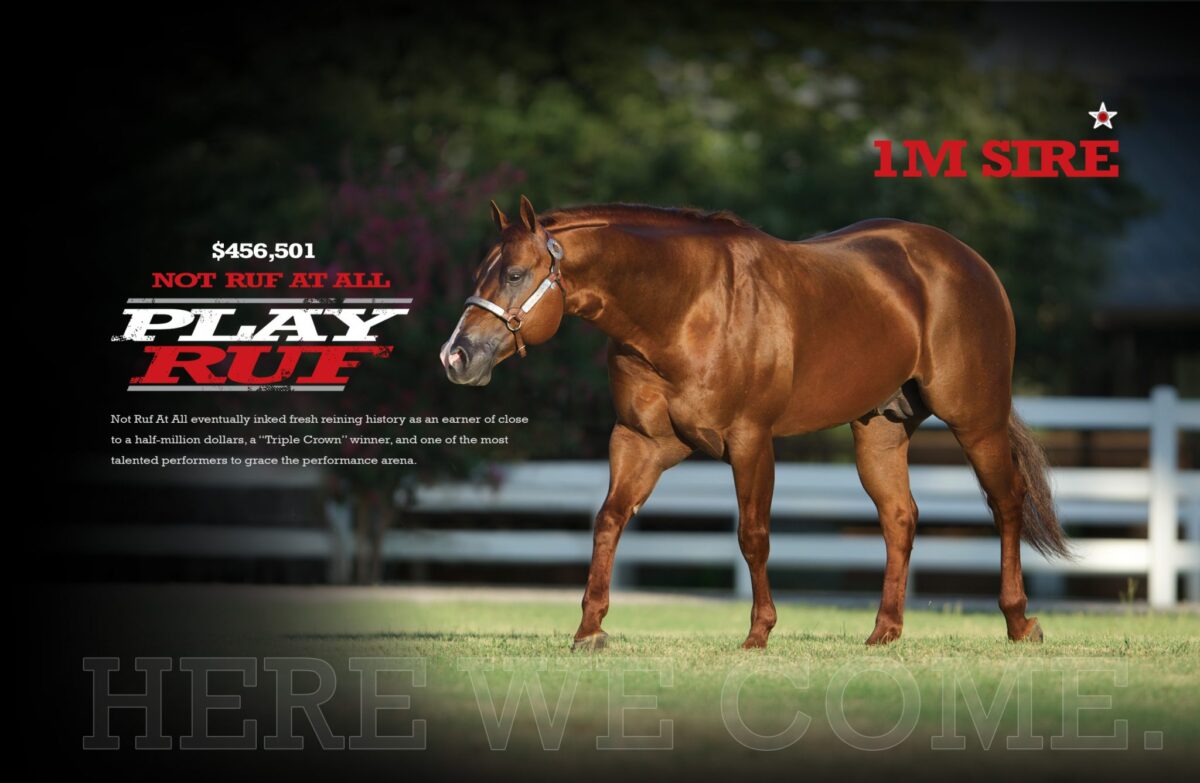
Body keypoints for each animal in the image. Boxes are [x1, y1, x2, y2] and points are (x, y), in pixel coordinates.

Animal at [440, 196, 1072, 650]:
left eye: (515, 274)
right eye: (481, 271)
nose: (457, 356)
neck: (684, 306)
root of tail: (968, 260)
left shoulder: (750, 440)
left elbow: (753, 535)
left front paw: (758, 633)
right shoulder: (641, 442)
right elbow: (609, 522)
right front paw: (590, 630)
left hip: (976, 418)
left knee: (1006, 503)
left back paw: (1020, 623)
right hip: (880, 428)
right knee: (899, 517)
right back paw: (884, 632)